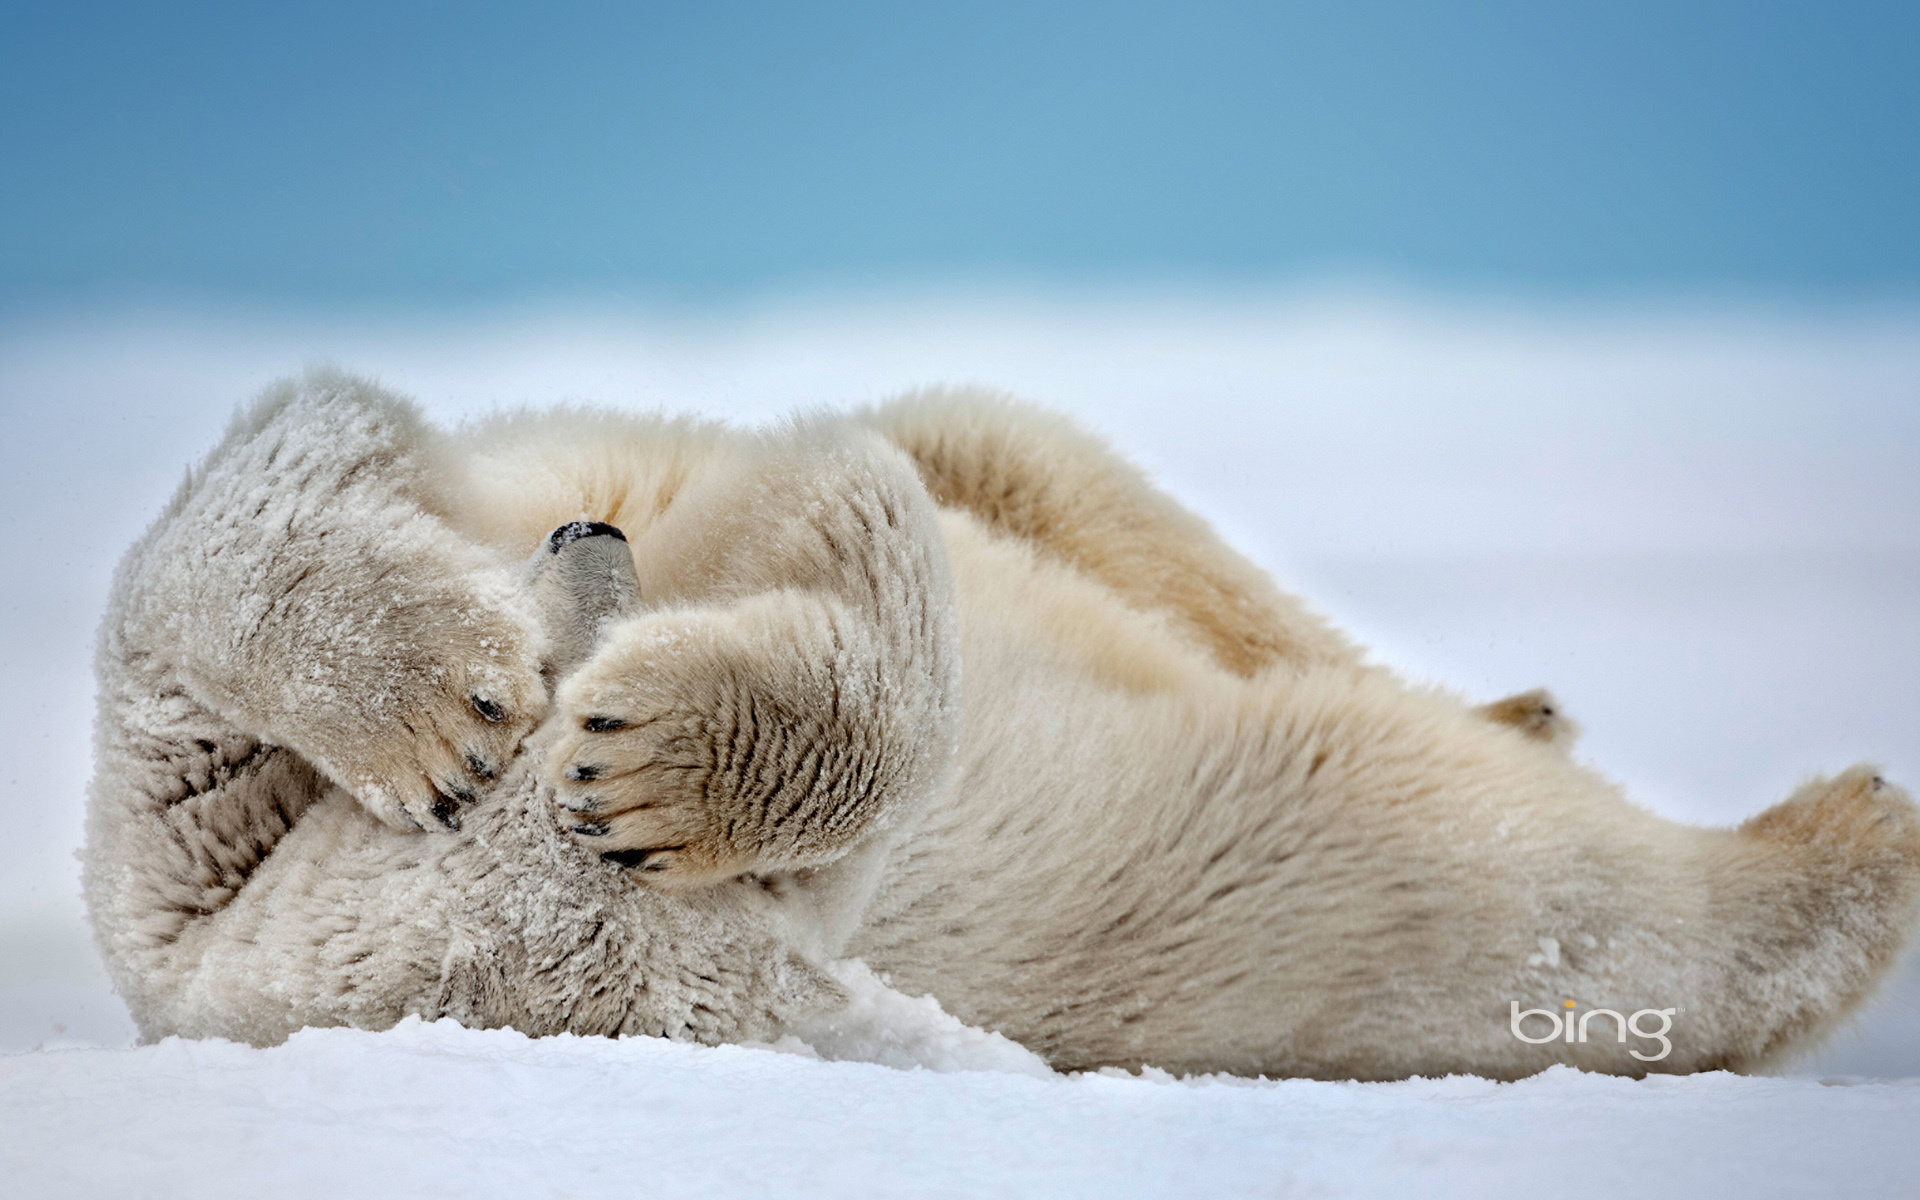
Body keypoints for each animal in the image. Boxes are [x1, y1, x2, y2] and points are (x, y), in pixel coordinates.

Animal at [82, 367, 1920, 1079]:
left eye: (575, 640)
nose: (590, 540)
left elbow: (294, 462)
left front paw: (470, 704)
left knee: (1058, 475)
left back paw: (1531, 703)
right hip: (1276, 886)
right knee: (1508, 879)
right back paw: (1842, 834)